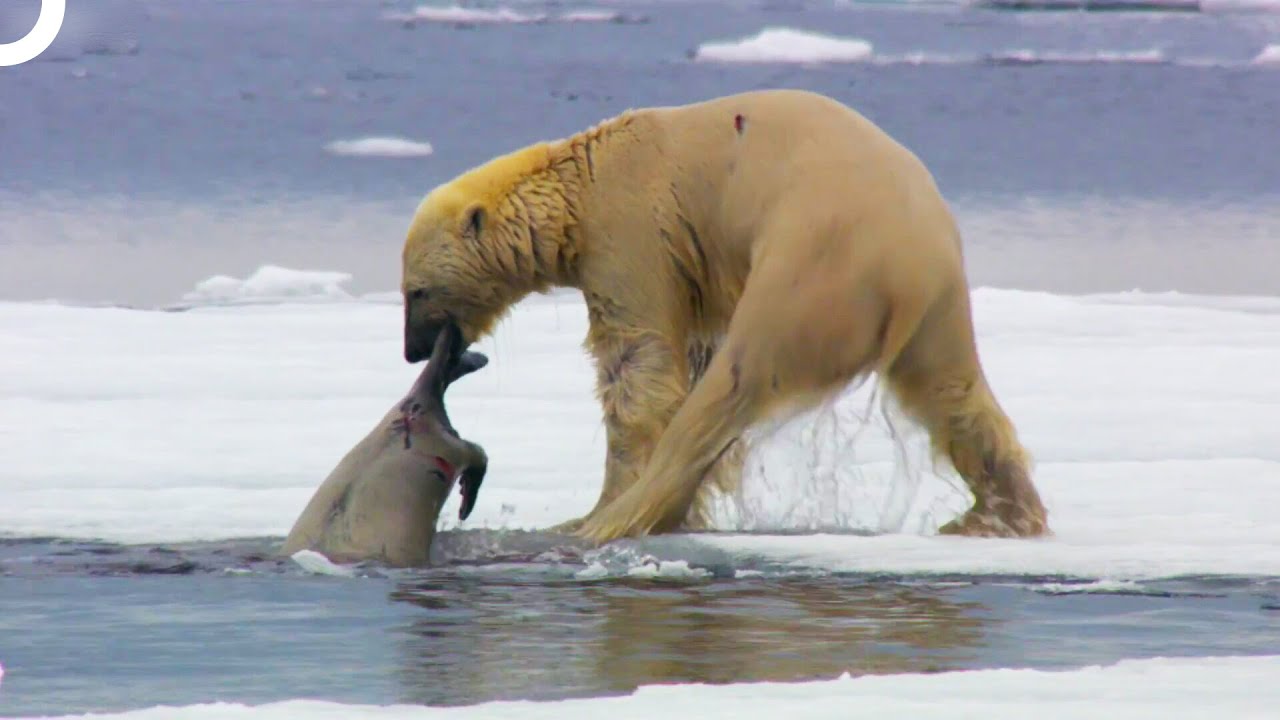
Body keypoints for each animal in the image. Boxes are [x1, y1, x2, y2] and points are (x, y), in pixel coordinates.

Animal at [398, 88, 1050, 544]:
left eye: (417, 292)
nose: (411, 351)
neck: (579, 180)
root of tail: (904, 265)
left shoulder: (628, 233)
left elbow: (638, 367)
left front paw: (603, 501)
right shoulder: (697, 269)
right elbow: (689, 347)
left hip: (812, 269)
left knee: (736, 381)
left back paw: (612, 521)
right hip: (939, 301)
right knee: (949, 390)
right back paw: (1000, 513)